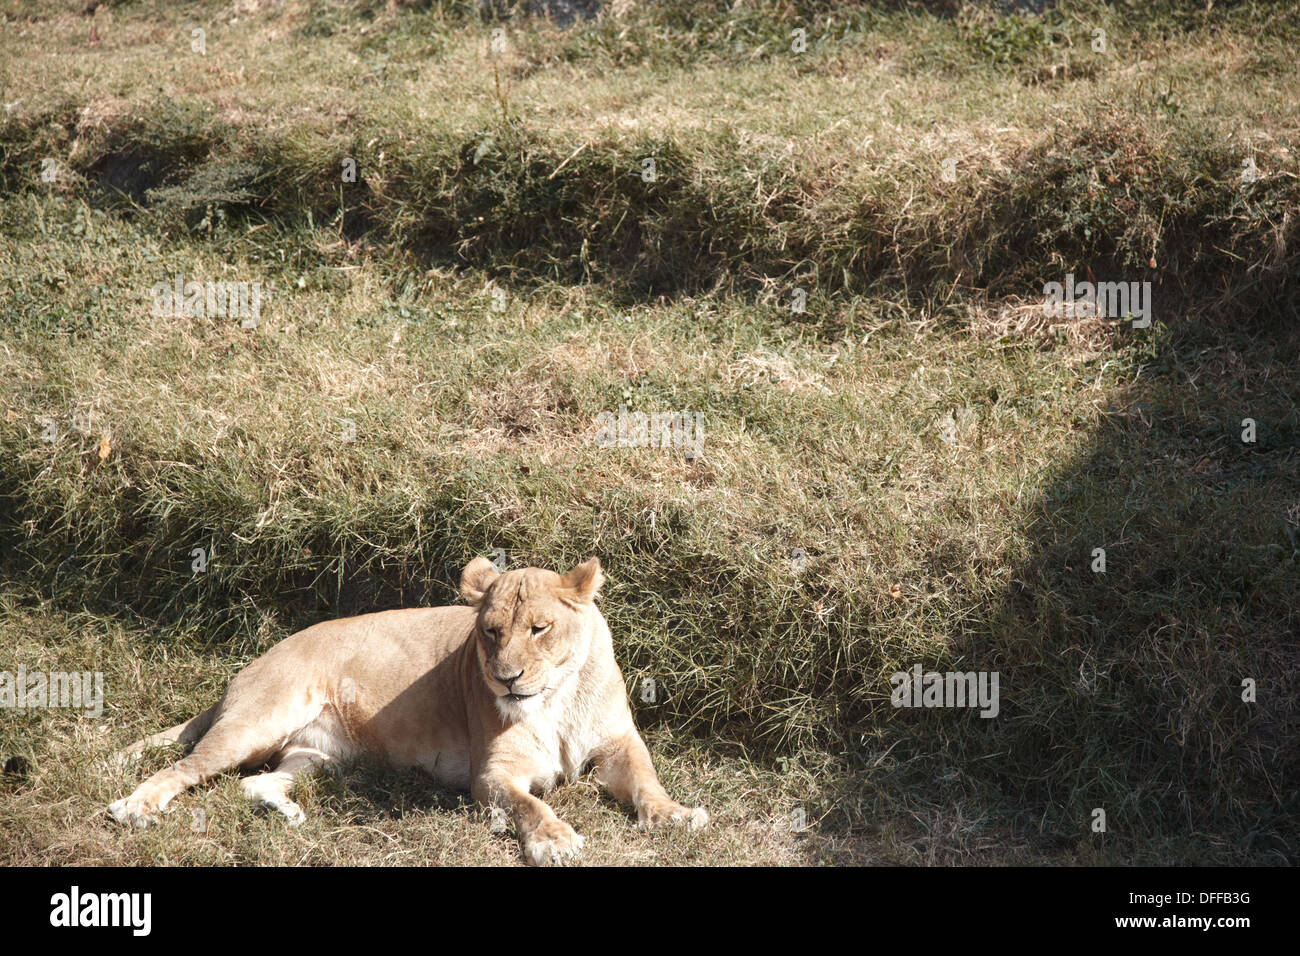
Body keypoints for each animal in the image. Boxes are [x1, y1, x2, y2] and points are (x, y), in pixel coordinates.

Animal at [108, 556, 707, 864]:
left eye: (540, 628)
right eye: (490, 633)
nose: (505, 678)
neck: (555, 698)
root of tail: (255, 663)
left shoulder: (618, 745)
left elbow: (647, 781)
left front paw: (675, 815)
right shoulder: (492, 774)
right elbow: (530, 805)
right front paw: (554, 840)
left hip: (321, 758)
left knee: (252, 783)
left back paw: (291, 814)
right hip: (256, 722)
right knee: (182, 768)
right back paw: (133, 807)